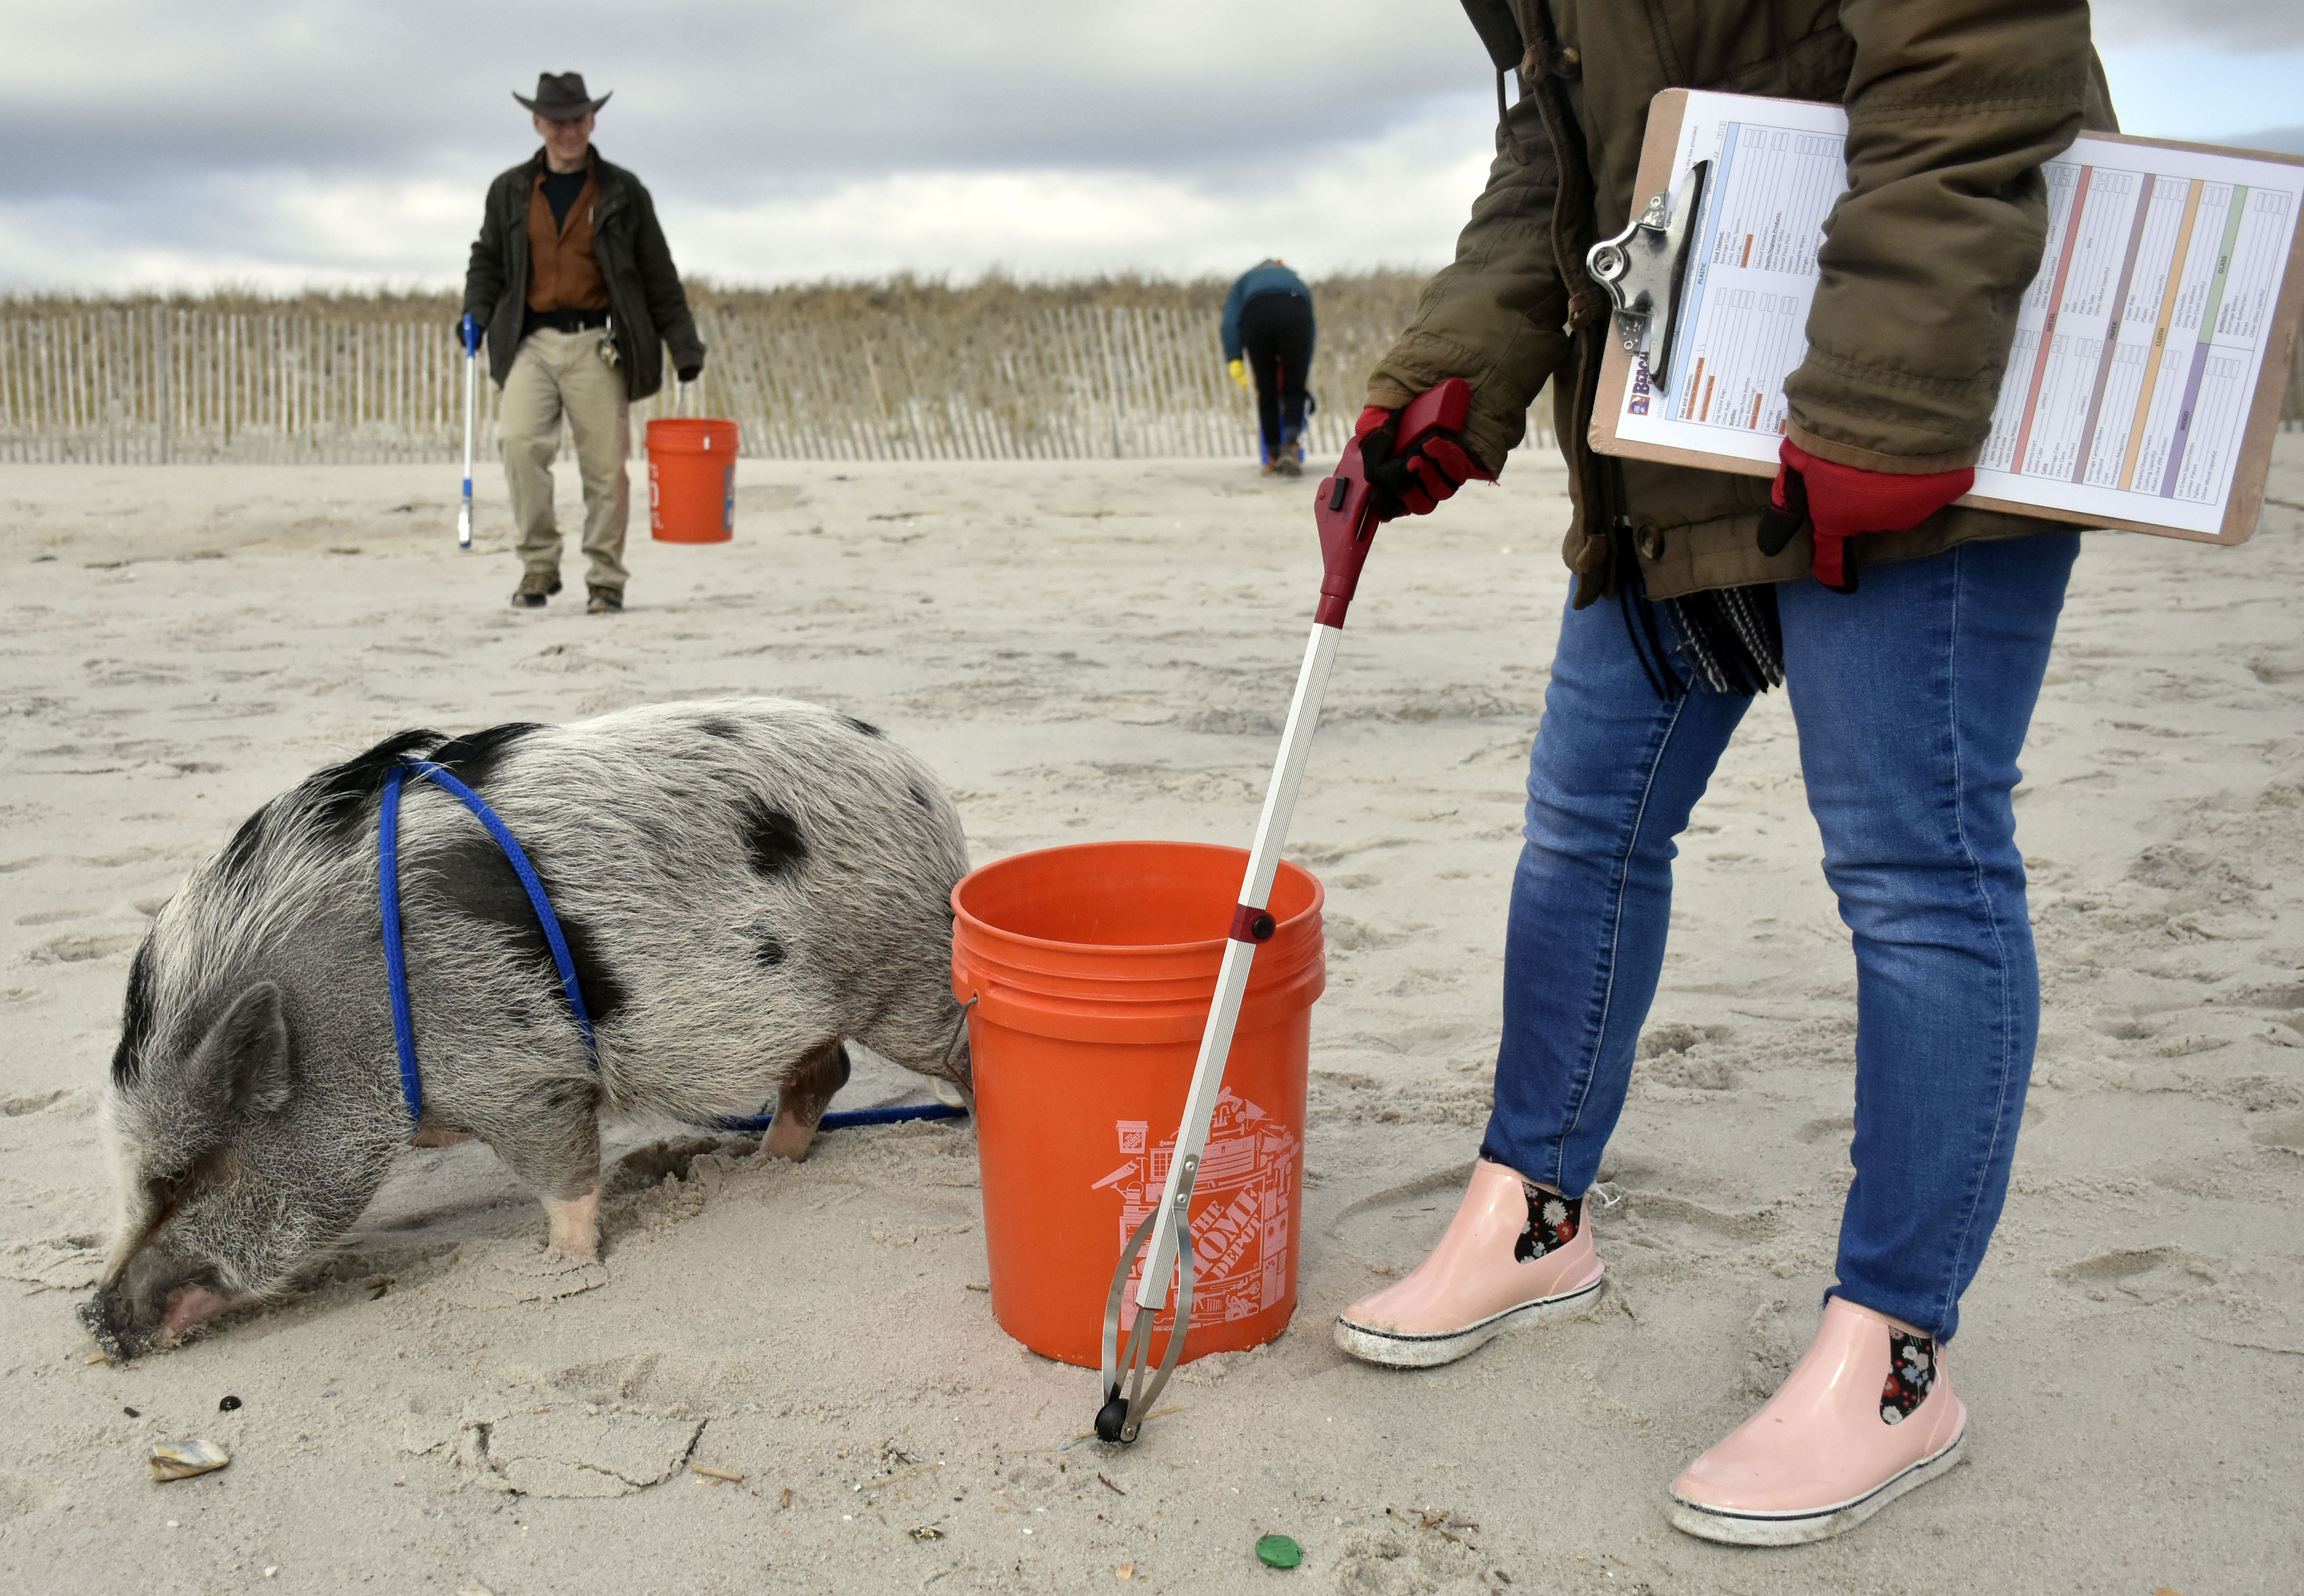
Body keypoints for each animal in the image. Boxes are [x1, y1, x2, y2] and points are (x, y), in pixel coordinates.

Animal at [83, 698, 972, 1358]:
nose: (91, 1317)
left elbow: (564, 1175)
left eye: (183, 1176)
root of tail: (927, 790)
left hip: (907, 974)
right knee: (825, 1073)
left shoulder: (520, 1072)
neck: (355, 1014)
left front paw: (555, 1265)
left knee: (957, 1053)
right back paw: (758, 1162)